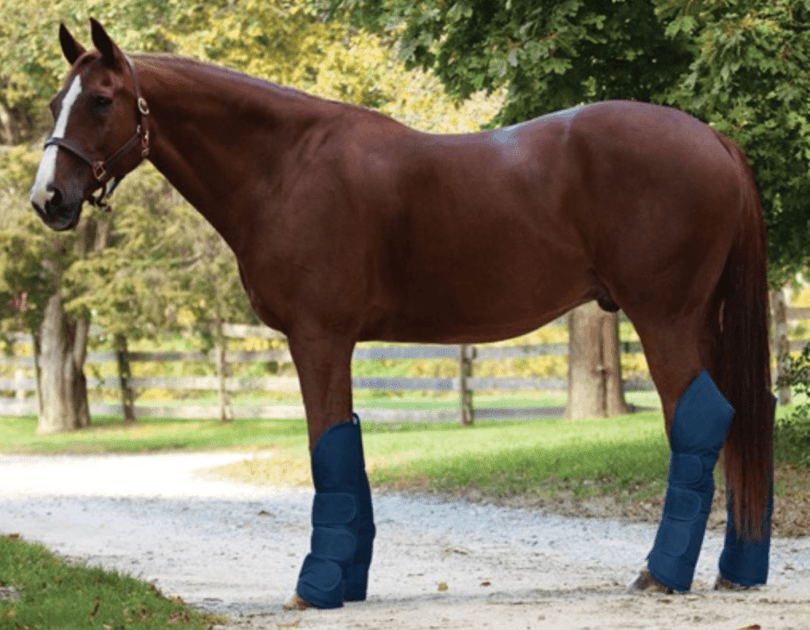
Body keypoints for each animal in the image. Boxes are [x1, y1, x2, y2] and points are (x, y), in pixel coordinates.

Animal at [30, 20, 774, 607]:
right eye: (56, 102)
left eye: (101, 101)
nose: (48, 199)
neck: (286, 165)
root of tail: (713, 140)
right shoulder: (337, 341)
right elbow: (347, 444)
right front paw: (348, 581)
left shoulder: (318, 337)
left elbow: (326, 446)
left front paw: (317, 588)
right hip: (702, 321)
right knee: (744, 413)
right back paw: (736, 569)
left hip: (664, 317)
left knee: (700, 418)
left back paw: (661, 574)